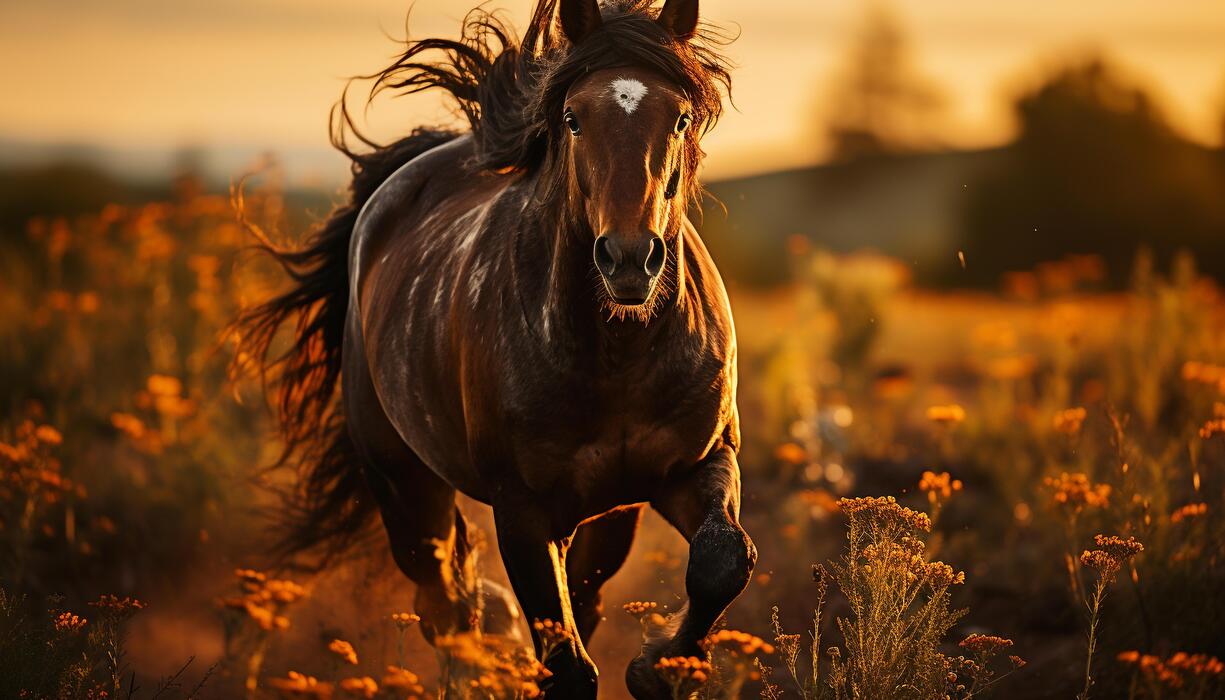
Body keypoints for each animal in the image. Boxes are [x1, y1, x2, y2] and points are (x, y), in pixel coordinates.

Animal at [233, 0, 754, 696]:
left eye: (680, 117)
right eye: (573, 118)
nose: (628, 259)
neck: (617, 352)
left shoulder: (694, 466)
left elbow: (724, 561)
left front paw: (657, 670)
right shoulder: (521, 510)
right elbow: (566, 667)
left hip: (602, 514)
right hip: (404, 485)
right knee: (445, 609)